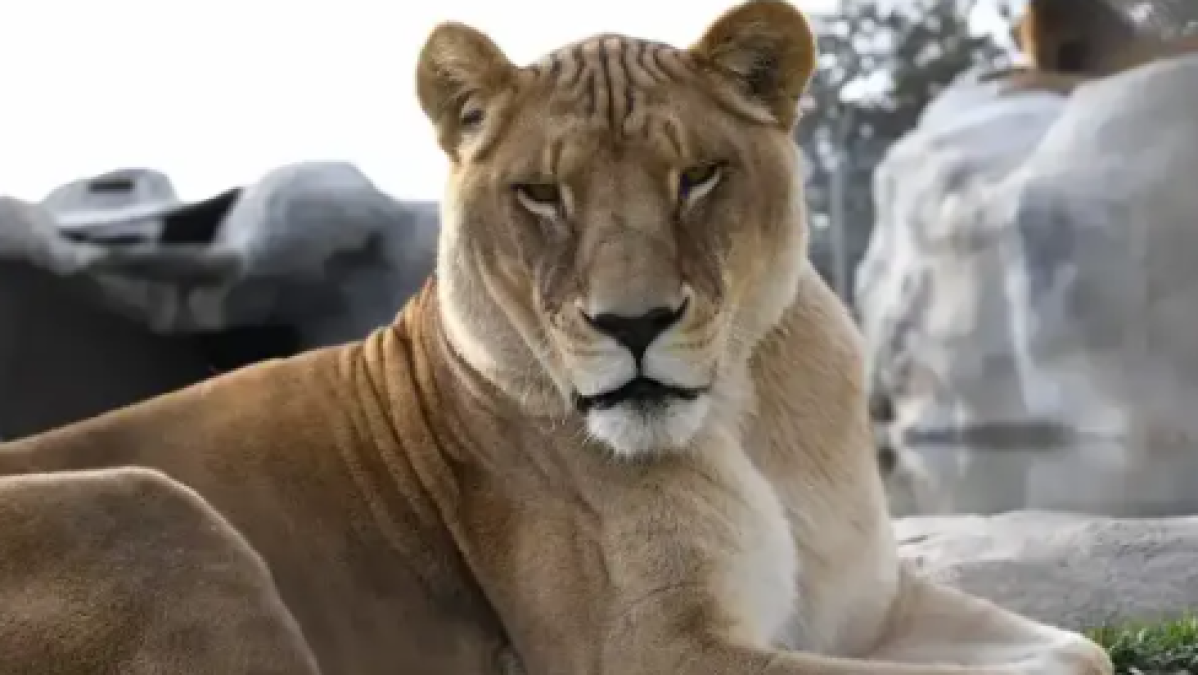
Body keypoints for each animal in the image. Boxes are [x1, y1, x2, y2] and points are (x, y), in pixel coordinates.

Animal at [0, 1, 1112, 674]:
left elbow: (1077, 651)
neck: (752, 420)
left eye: (697, 176)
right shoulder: (650, 652)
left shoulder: (867, 610)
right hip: (147, 508)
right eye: (541, 194)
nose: (633, 323)